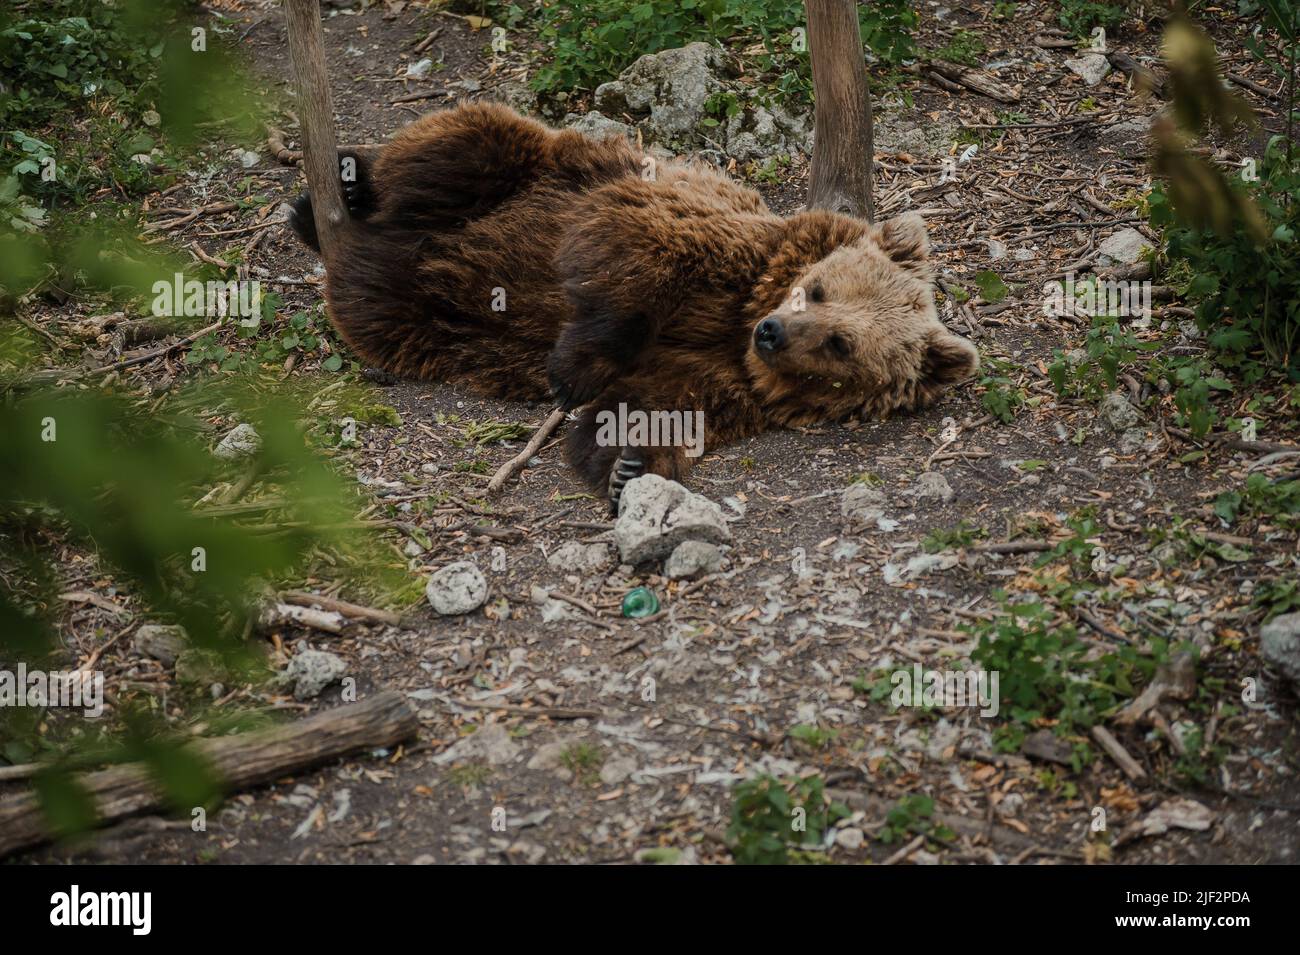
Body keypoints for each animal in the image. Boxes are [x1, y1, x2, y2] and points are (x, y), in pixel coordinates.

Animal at [289, 102, 978, 508]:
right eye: (820, 287)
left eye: (841, 343)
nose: (775, 333)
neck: (735, 322)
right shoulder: (695, 227)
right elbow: (638, 250)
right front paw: (573, 370)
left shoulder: (722, 378)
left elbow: (652, 402)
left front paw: (628, 462)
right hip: (539, 165)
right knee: (463, 147)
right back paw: (336, 192)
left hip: (411, 317)